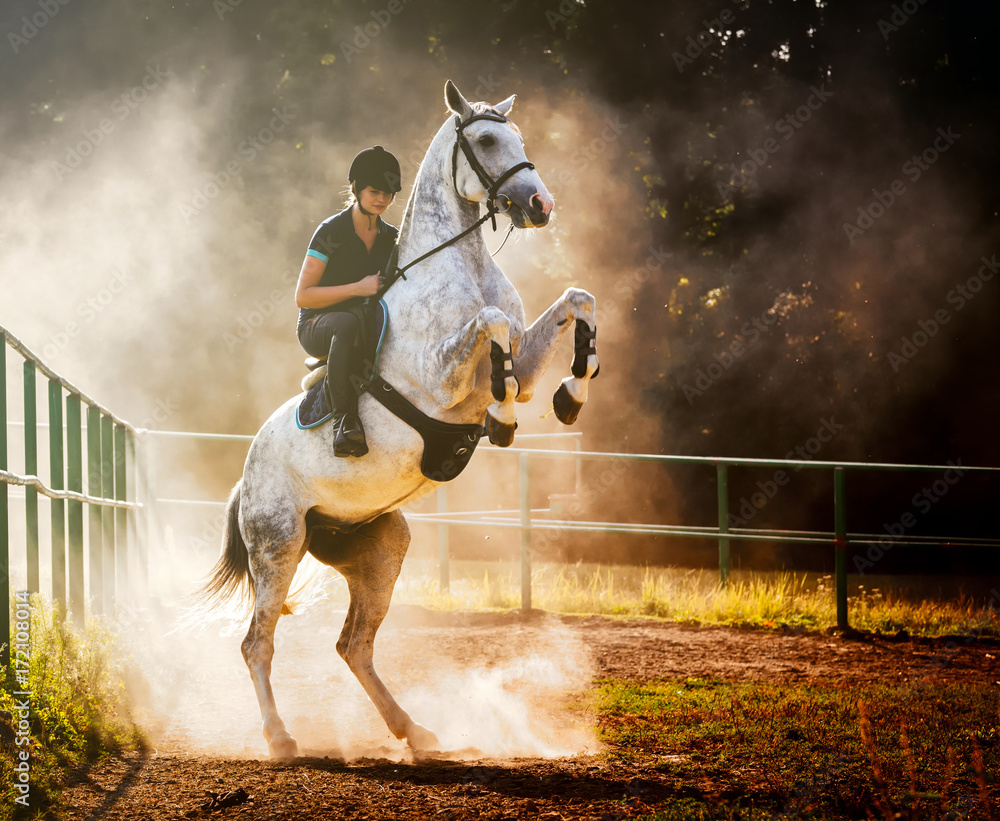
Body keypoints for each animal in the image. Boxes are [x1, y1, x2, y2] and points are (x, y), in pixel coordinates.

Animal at [201, 80, 600, 759]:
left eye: (519, 138)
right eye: (486, 140)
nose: (541, 205)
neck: (463, 265)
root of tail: (244, 478)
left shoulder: (526, 356)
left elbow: (576, 301)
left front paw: (572, 392)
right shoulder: (440, 379)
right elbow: (492, 328)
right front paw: (502, 417)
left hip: (382, 546)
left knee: (353, 644)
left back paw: (415, 731)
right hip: (278, 545)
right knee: (258, 642)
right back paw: (281, 739)